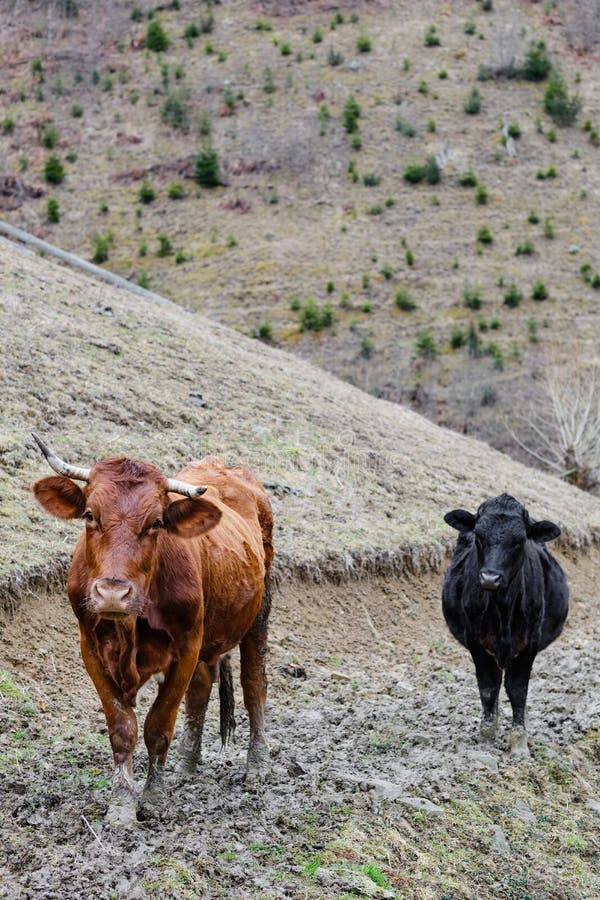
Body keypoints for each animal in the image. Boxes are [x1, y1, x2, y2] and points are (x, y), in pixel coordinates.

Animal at [31, 433, 273, 825]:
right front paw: (121, 802)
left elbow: (158, 724)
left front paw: (154, 797)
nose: (113, 592)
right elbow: (123, 727)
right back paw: (188, 765)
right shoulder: (90, 648)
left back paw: (258, 764)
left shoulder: (186, 646)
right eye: (89, 515)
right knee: (201, 689)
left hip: (258, 615)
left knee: (254, 684)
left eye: (157, 522)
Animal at [442, 493, 568, 758]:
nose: (490, 578)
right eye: (479, 536)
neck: (502, 609)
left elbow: (517, 690)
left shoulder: (530, 642)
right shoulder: (475, 640)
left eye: (519, 541)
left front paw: (519, 744)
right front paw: (487, 738)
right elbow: (488, 687)